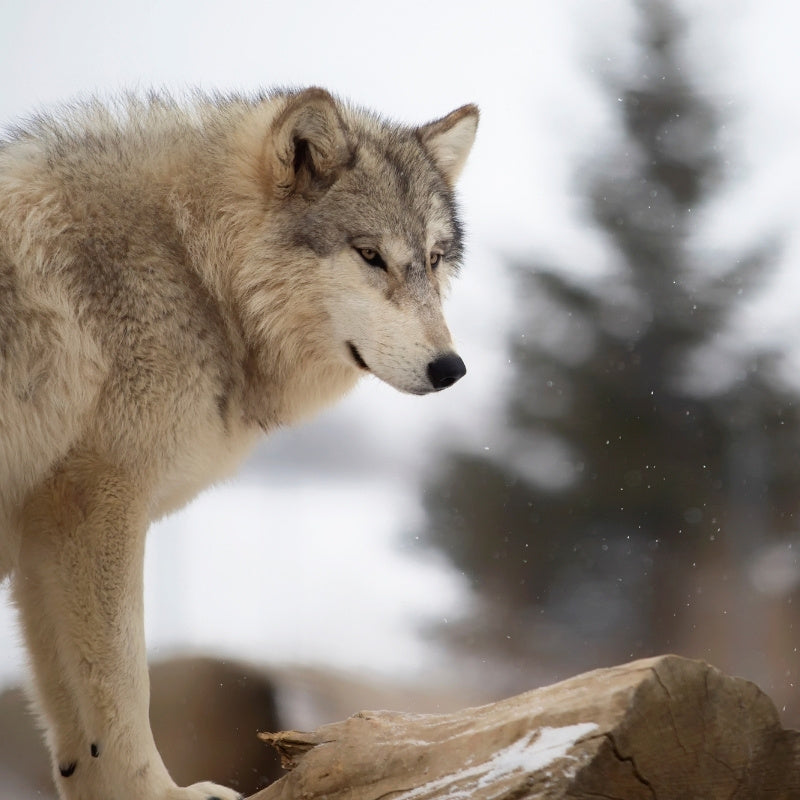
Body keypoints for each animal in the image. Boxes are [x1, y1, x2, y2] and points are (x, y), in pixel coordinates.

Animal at [0, 87, 478, 800]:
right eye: (370, 255)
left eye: (435, 259)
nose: (451, 368)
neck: (192, 267)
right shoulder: (96, 505)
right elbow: (122, 690)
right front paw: (161, 796)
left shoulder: (44, 535)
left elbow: (77, 732)